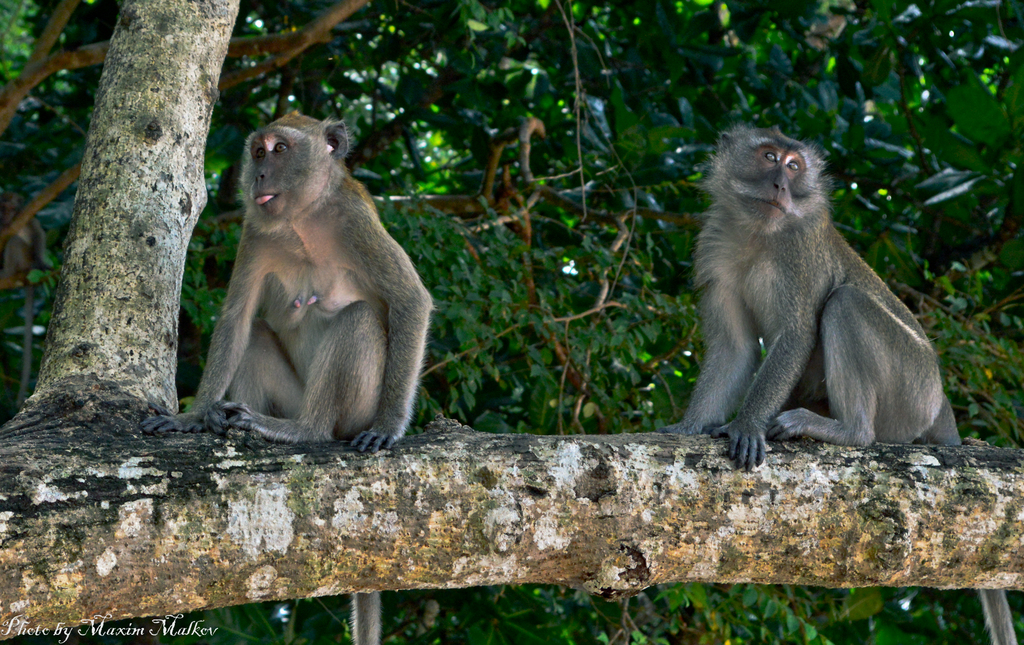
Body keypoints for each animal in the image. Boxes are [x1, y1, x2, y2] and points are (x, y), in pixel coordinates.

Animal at [141, 112, 433, 645]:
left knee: (359, 318)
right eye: (258, 152)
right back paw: (240, 423)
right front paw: (192, 418)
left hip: (354, 407)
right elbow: (237, 320)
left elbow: (409, 300)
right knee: (257, 334)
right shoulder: (256, 233)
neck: (304, 219)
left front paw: (390, 427)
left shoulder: (354, 219)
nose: (258, 174)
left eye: (280, 149)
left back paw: (304, 431)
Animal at [658, 125, 1016, 645]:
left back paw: (846, 430)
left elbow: (796, 334)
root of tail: (940, 401)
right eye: (769, 157)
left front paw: (747, 424)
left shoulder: (800, 253)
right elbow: (734, 350)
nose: (781, 186)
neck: (759, 235)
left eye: (794, 166)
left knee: (846, 303)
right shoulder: (718, 248)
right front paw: (689, 427)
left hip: (911, 388)